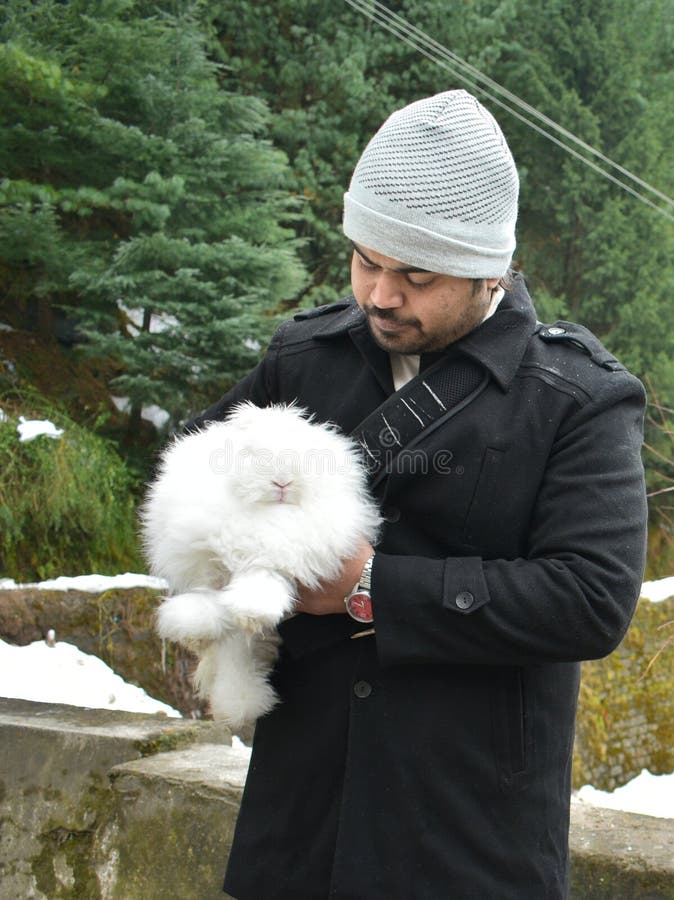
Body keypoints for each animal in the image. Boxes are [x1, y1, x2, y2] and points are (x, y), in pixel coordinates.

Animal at [141, 402, 381, 730]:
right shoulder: (207, 557)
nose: (282, 481)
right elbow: (208, 594)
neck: (269, 515)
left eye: (305, 455)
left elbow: (263, 580)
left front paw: (252, 613)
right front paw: (193, 625)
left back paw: (238, 705)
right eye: (252, 454)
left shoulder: (281, 558)